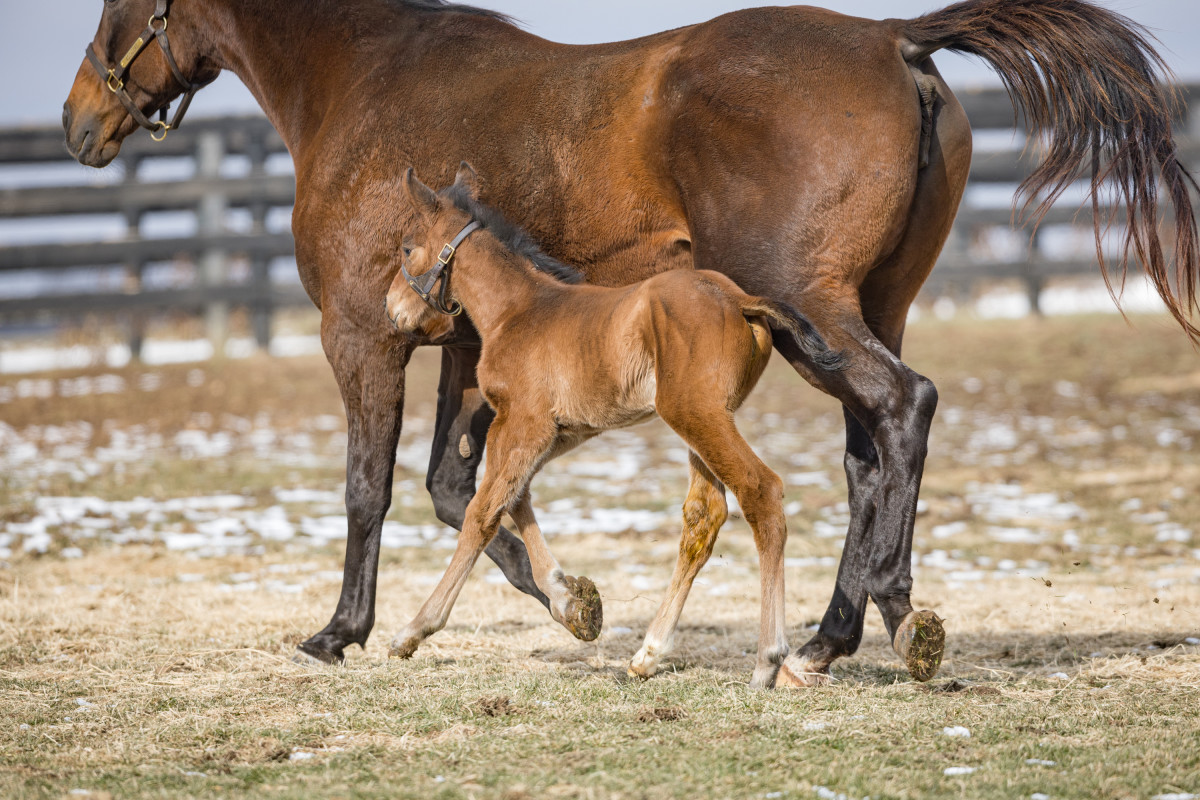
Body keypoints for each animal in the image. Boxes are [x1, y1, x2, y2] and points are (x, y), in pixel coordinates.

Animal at [384, 163, 848, 685]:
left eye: (407, 247)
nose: (391, 308)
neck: (518, 310)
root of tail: (739, 298)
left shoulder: (522, 422)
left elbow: (482, 513)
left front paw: (412, 631)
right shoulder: (564, 431)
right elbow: (516, 496)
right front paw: (572, 604)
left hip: (696, 415)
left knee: (761, 492)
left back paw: (768, 658)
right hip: (705, 420)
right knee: (704, 517)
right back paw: (648, 653)